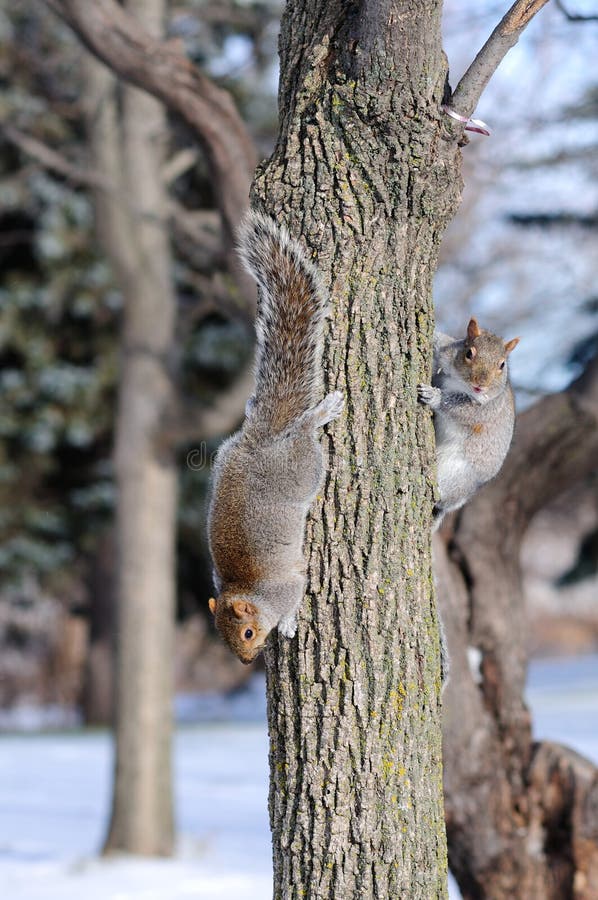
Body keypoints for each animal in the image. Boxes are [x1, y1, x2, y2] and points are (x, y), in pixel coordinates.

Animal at [207, 211, 344, 663]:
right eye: (223, 639)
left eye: (248, 633)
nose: (248, 661)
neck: (244, 588)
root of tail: (261, 439)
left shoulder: (288, 585)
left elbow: (296, 594)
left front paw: (286, 624)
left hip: (303, 468)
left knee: (303, 432)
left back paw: (319, 414)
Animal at [418, 316, 520, 529]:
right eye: (469, 353)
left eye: (502, 365)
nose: (481, 383)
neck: (461, 383)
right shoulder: (444, 350)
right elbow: (437, 340)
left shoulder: (486, 407)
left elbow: (462, 411)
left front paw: (435, 397)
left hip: (458, 477)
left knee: (442, 498)